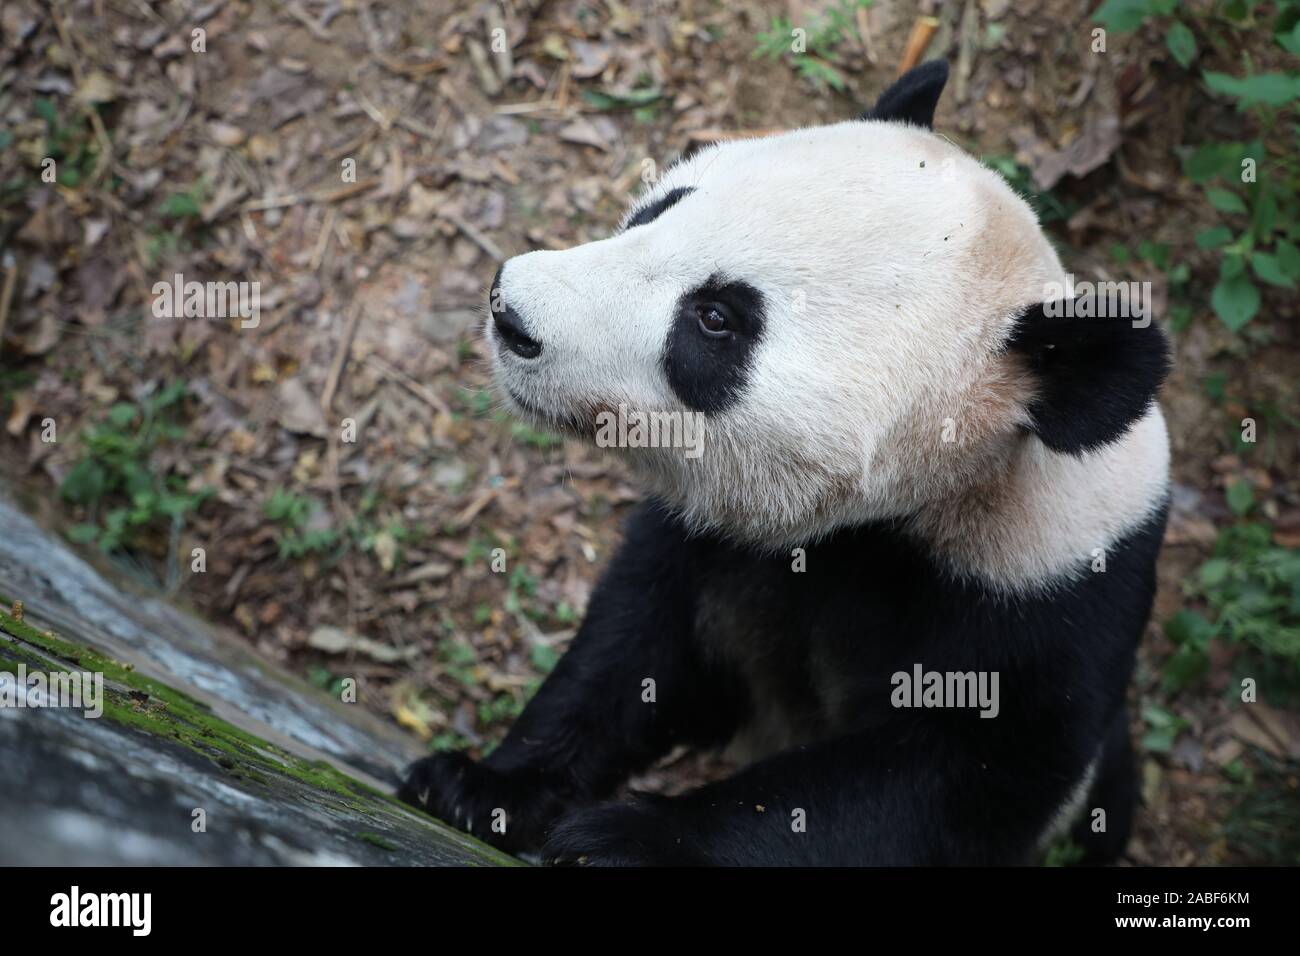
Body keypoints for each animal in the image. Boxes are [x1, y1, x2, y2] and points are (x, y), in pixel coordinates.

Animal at [399, 61, 1172, 866]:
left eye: (716, 319)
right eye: (661, 208)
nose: (510, 313)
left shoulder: (1047, 601)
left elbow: (938, 786)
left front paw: (628, 839)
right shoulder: (719, 546)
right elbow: (640, 646)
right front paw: (480, 786)